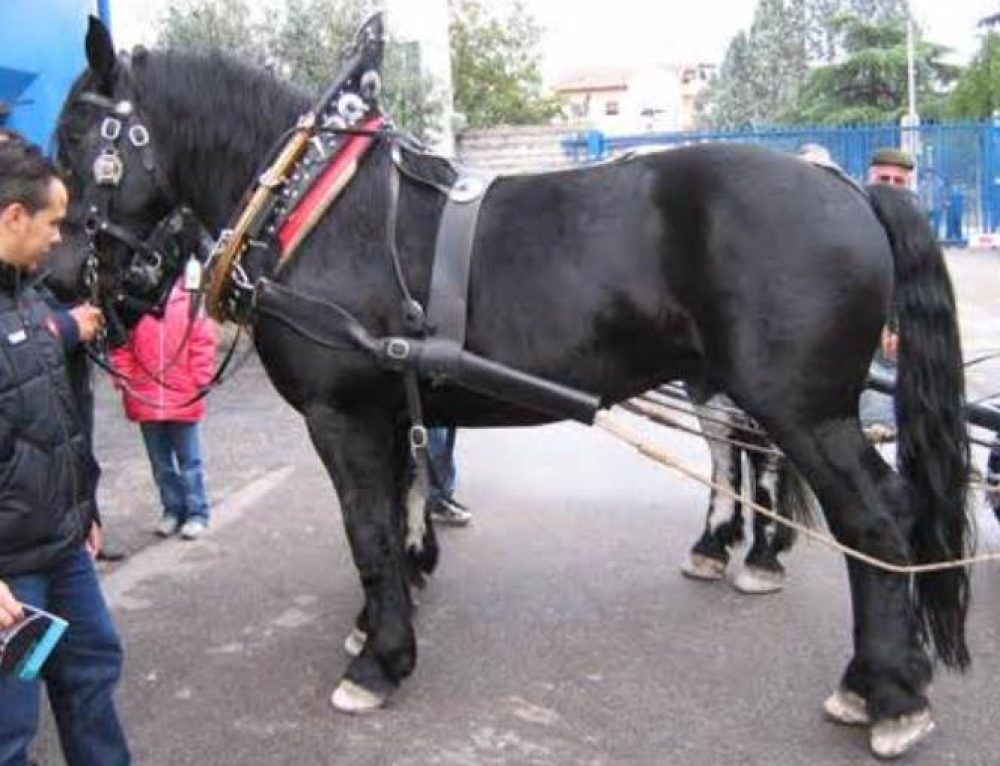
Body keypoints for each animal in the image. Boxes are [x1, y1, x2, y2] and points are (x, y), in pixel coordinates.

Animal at [56, 17, 970, 757]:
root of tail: (851, 189)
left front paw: (381, 663)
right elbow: (399, 511)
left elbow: (368, 532)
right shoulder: (390, 409)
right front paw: (381, 620)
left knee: (875, 520)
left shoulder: (341, 415)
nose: (65, 278)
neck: (319, 205)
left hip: (805, 412)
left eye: (77, 142)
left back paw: (887, 692)